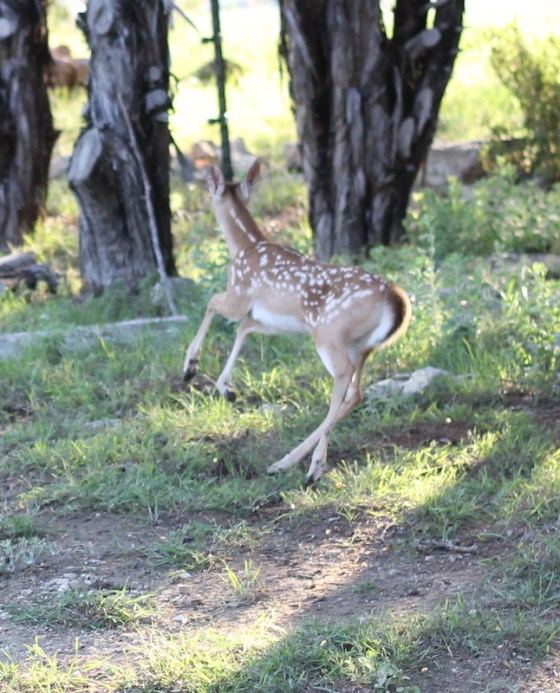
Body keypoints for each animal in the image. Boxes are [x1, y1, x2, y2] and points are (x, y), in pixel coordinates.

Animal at [183, 159, 411, 484]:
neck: (245, 246)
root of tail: (395, 298)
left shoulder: (238, 293)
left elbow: (213, 304)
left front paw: (191, 366)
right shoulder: (273, 320)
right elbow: (244, 330)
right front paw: (225, 387)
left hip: (329, 334)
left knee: (344, 380)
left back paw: (314, 468)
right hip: (362, 346)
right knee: (356, 393)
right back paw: (286, 462)